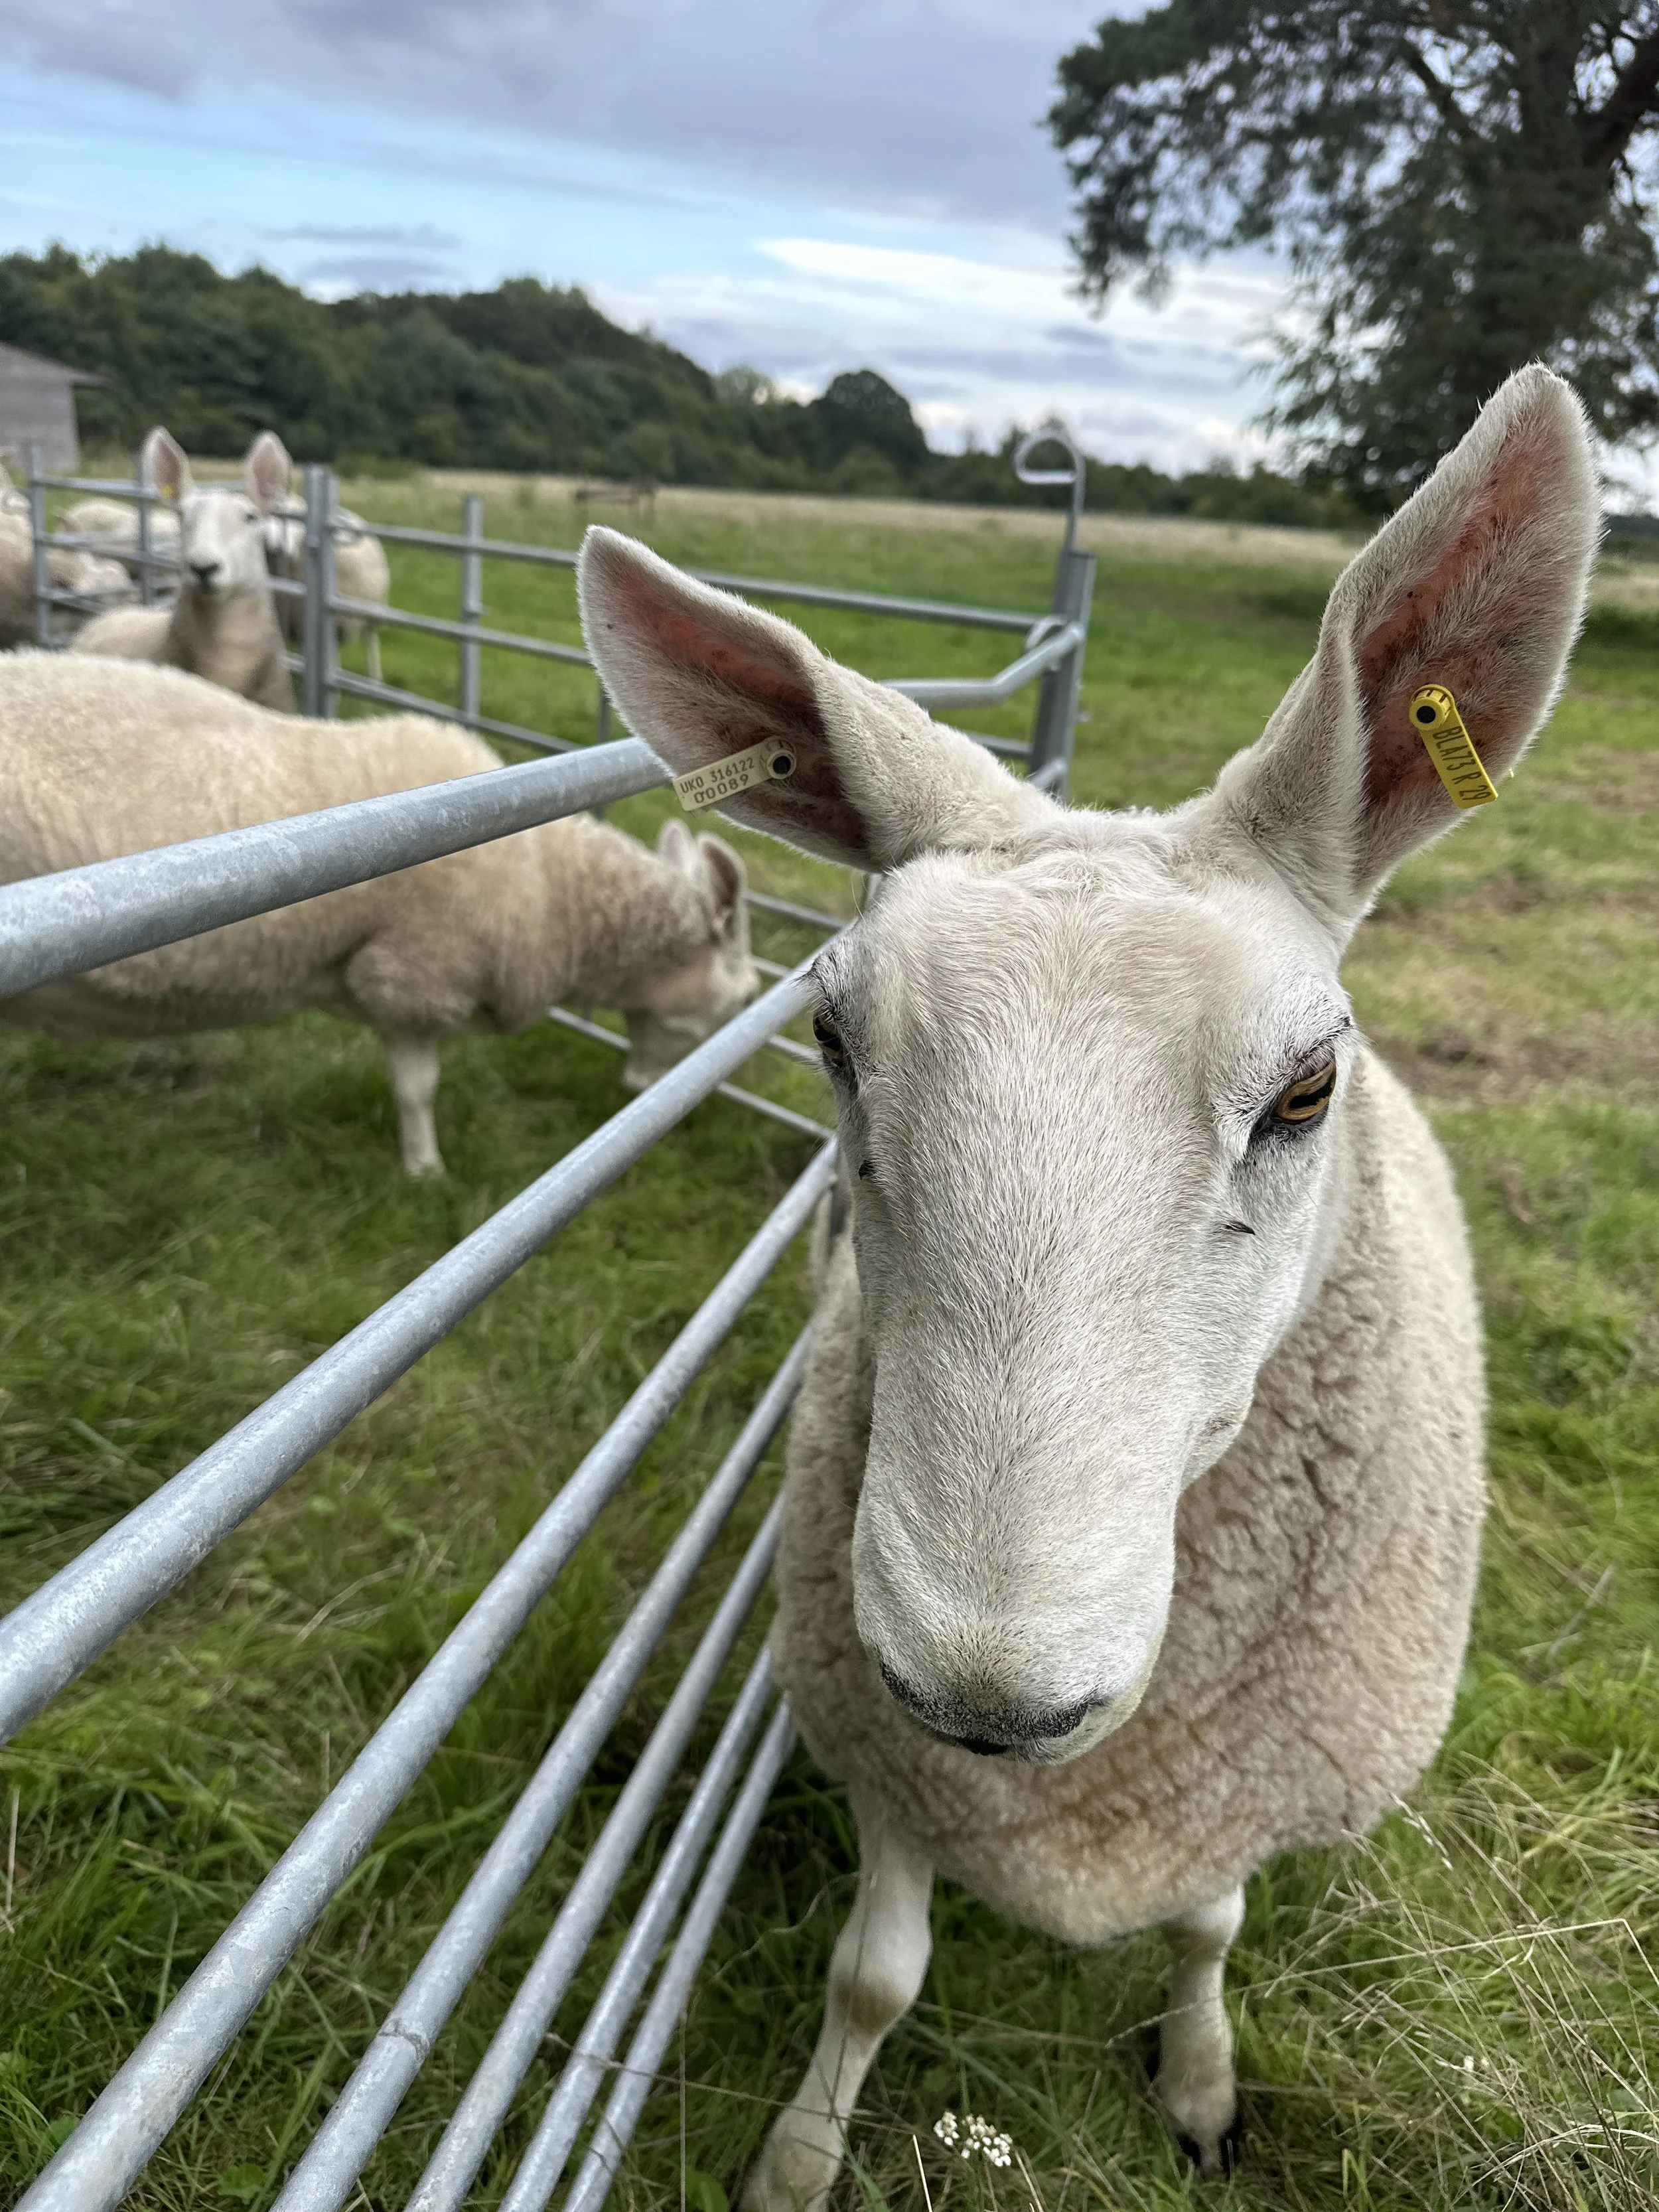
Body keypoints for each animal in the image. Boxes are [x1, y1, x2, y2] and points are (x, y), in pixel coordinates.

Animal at [0, 652, 758, 1176]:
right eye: (747, 997)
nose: (644, 1090)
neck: (553, 888)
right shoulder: (411, 978)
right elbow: (418, 1090)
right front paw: (425, 1170)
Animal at [575, 363, 1598, 2196]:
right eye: (832, 1041)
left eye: (1305, 1091)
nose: (983, 1687)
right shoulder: (891, 1753)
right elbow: (872, 1974)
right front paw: (800, 2157)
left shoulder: (1240, 1788)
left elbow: (1206, 1934)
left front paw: (1198, 2086)